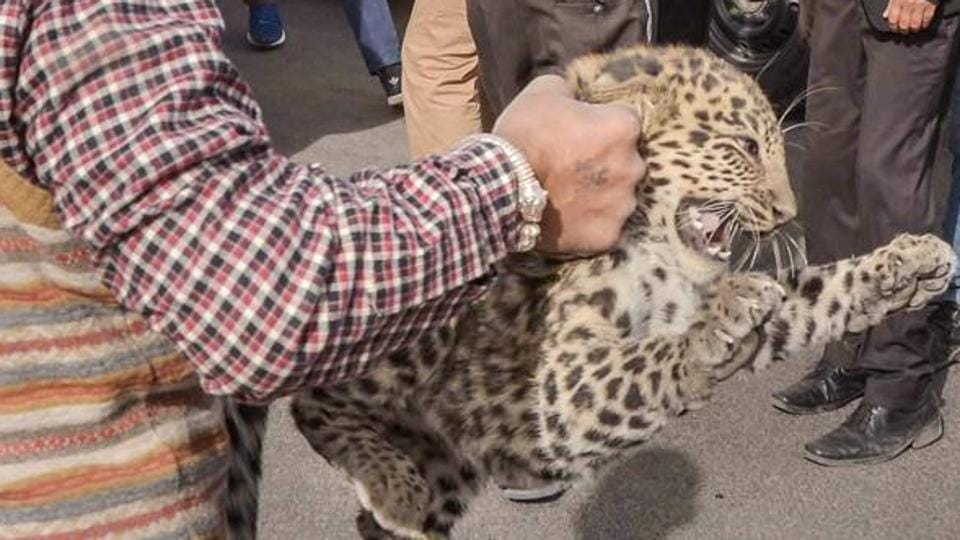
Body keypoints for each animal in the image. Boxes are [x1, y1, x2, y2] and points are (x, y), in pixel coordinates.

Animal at [289, 45, 956, 540]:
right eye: (742, 147)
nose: (789, 212)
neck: (649, 233)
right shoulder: (560, 386)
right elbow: (652, 355)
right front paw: (724, 315)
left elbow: (819, 291)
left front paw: (912, 262)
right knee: (310, 403)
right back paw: (389, 481)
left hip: (449, 464)